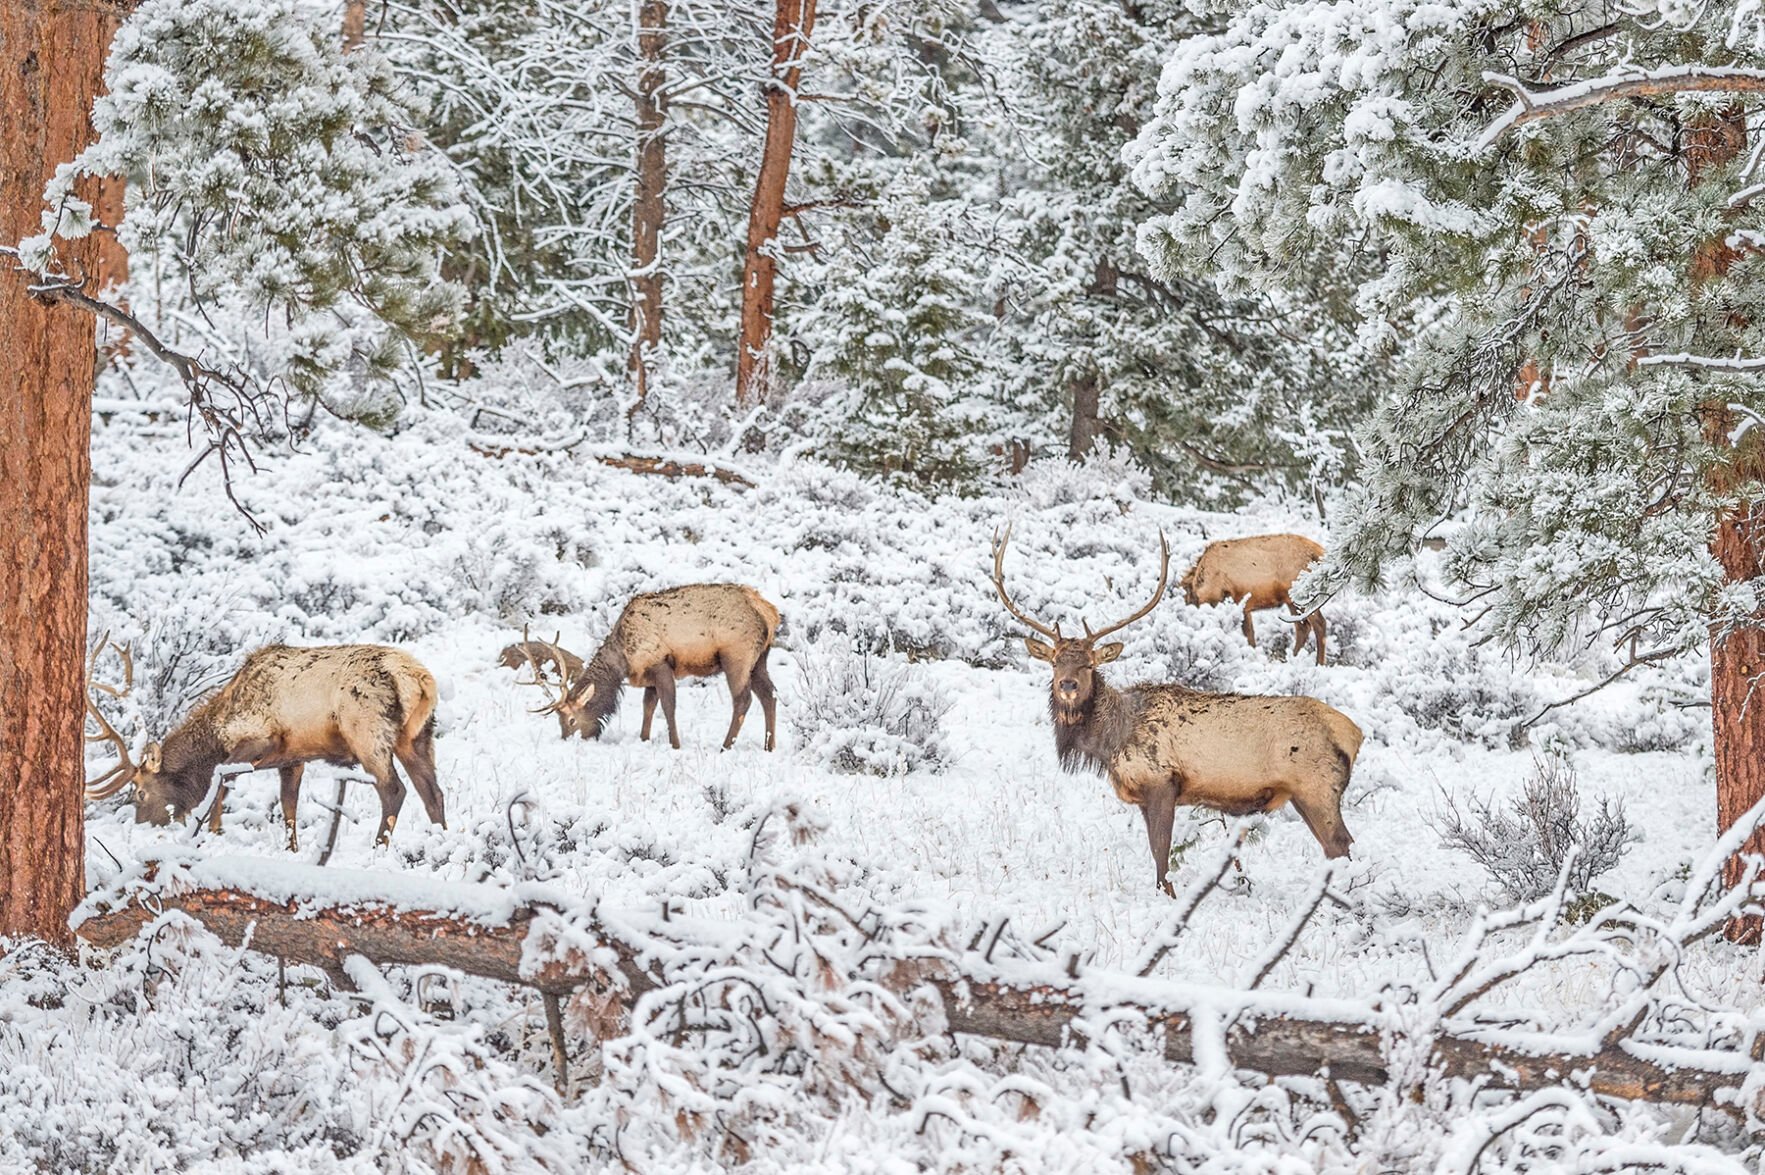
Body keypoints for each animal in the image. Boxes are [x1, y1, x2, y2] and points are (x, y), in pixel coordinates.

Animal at [85, 638, 447, 850]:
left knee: (394, 790)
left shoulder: (258, 739)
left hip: (367, 730)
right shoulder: (294, 758)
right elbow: (289, 806)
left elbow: (222, 782)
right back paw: (439, 845)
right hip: (417, 736)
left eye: (139, 792)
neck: (218, 728)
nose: (140, 826)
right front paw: (292, 849)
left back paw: (378, 847)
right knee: (432, 792)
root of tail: (419, 678)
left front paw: (212, 832)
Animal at [526, 584, 781, 751]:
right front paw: (643, 738)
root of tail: (769, 613)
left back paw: (725, 746)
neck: (623, 657)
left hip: (736, 655)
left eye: (570, 720)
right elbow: (648, 706)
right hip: (760, 659)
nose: (567, 741)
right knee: (770, 694)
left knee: (743, 699)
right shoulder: (648, 675)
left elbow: (668, 706)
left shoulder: (660, 664)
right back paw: (769, 745)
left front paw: (675, 744)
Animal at [1178, 534, 1328, 665]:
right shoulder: (1245, 607)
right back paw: (1292, 658)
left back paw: (1319, 663)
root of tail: (1319, 551)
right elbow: (1250, 637)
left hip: (1303, 595)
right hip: (1291, 600)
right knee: (1303, 627)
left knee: (1319, 623)